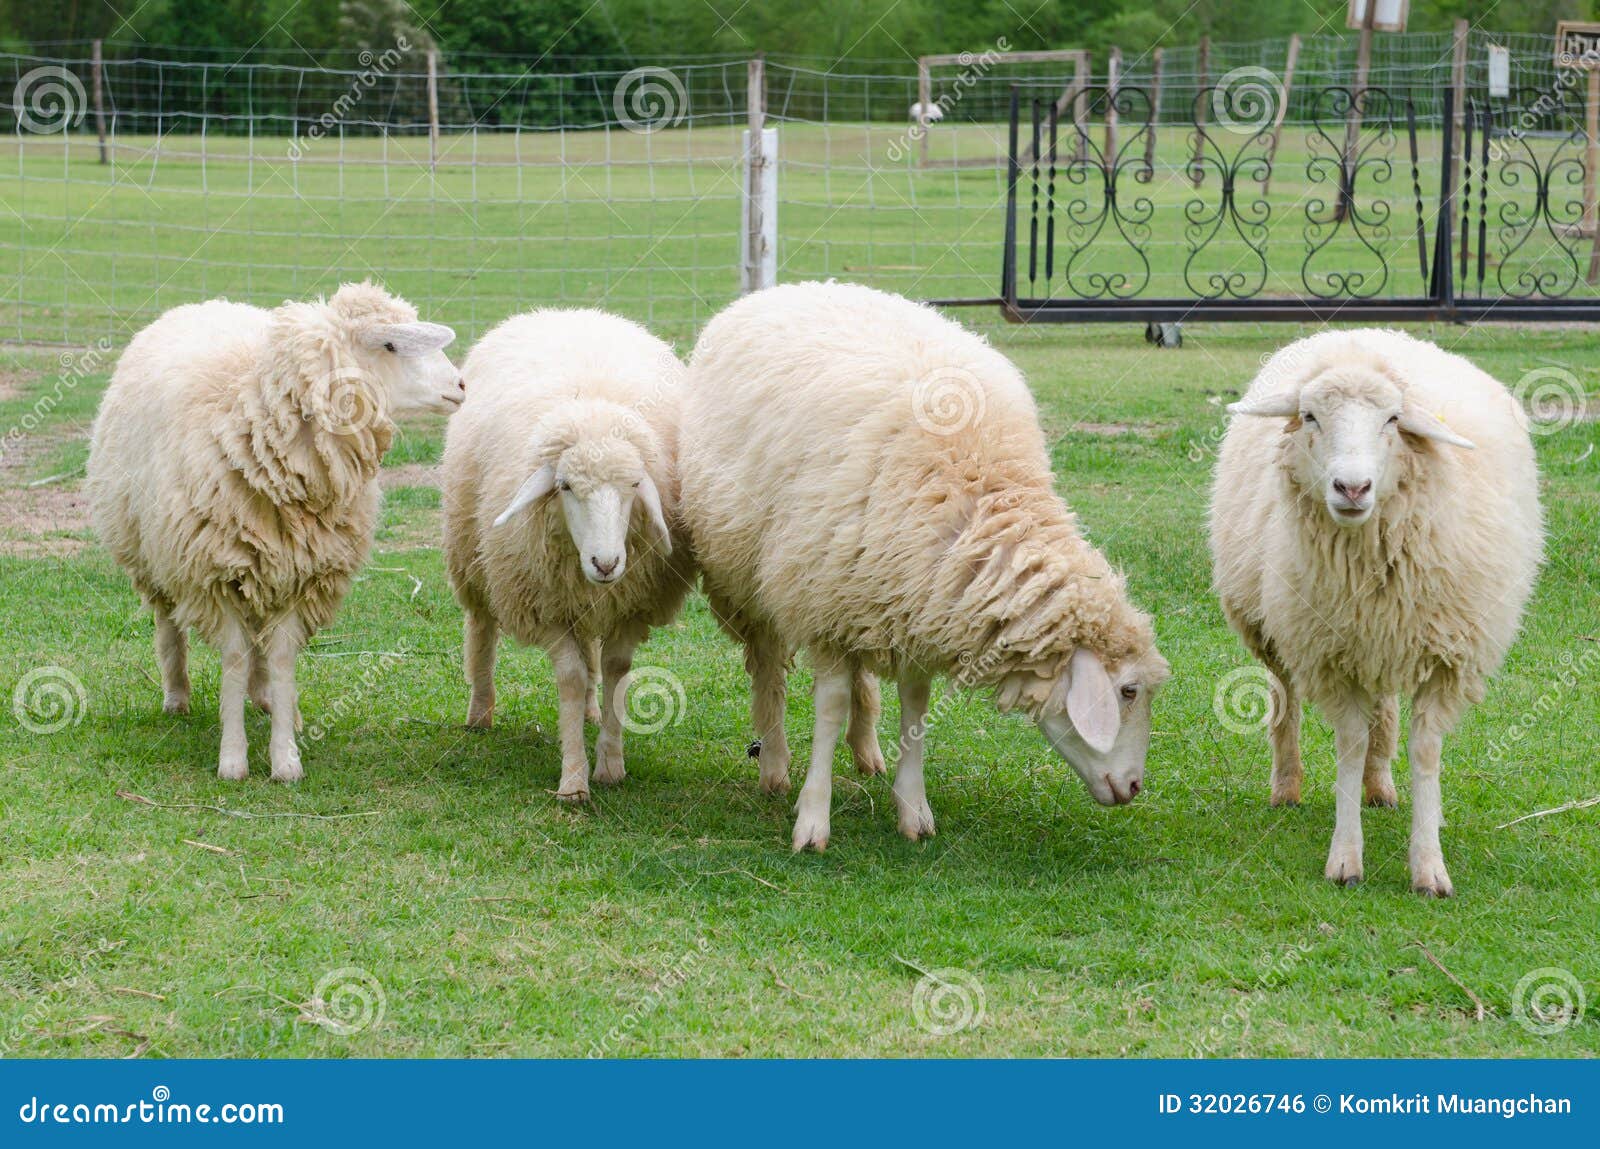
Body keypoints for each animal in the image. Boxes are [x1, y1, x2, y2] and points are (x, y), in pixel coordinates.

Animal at [87, 282, 464, 782]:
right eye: (389, 345)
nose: (461, 385)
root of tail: (204, 303)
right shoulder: (213, 575)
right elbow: (232, 660)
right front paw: (233, 758)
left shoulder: (303, 575)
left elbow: (281, 660)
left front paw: (285, 757)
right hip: (151, 550)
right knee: (169, 624)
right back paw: (177, 695)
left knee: (259, 648)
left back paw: (264, 697)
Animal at [441, 309, 696, 802]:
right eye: (564, 486)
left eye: (634, 485)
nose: (605, 563)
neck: (591, 408)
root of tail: (565, 312)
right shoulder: (547, 604)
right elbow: (571, 678)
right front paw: (574, 780)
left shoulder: (629, 603)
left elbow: (615, 669)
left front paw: (610, 763)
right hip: (470, 552)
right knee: (481, 628)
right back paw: (480, 711)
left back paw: (592, 712)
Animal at [679, 281, 1170, 851]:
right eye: (1128, 691)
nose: (1134, 787)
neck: (973, 485)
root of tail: (788, 287)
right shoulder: (824, 606)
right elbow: (828, 707)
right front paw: (813, 819)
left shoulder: (917, 604)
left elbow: (913, 706)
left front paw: (913, 808)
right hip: (748, 579)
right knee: (769, 671)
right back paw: (775, 765)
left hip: (864, 588)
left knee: (860, 681)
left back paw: (866, 751)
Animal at [1211, 328, 1543, 896]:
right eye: (1310, 416)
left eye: (1392, 419)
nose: (1352, 488)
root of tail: (1358, 335)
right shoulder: (1329, 654)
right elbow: (1348, 743)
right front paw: (1345, 857)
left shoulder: (1446, 655)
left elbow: (1425, 752)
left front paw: (1429, 863)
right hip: (1270, 624)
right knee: (1284, 696)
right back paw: (1287, 784)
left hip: (1385, 638)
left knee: (1384, 710)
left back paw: (1381, 785)